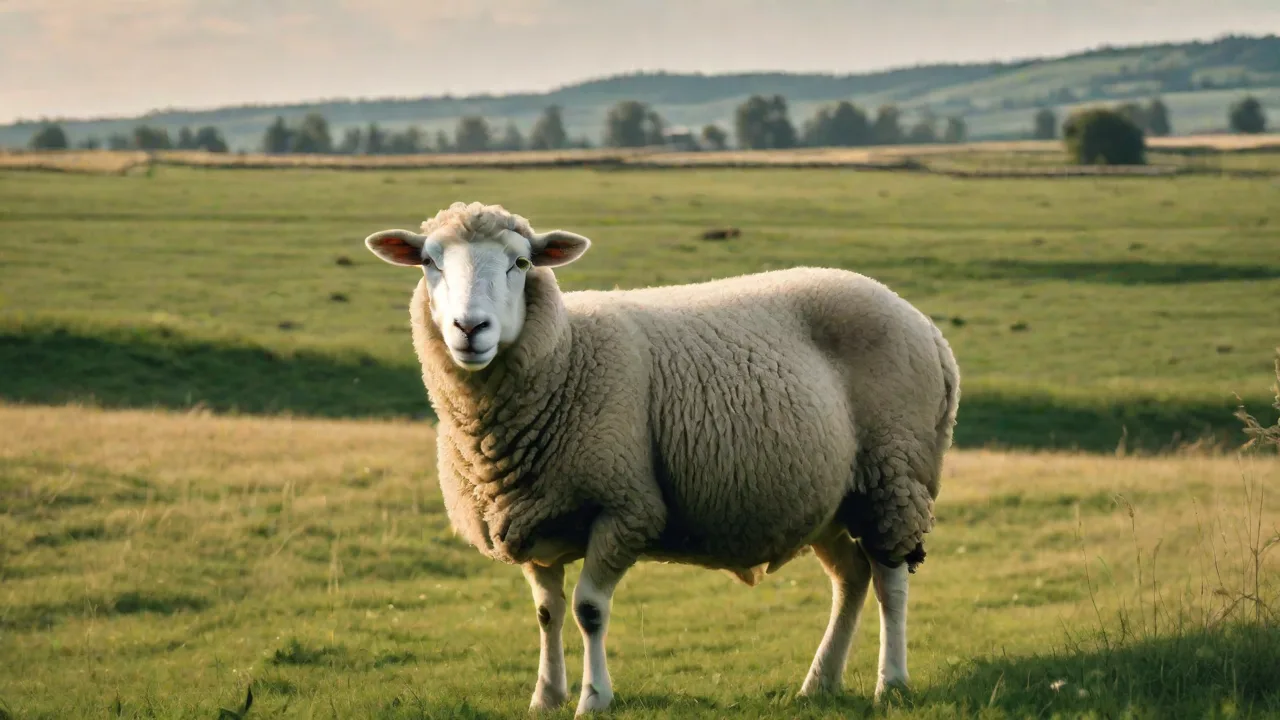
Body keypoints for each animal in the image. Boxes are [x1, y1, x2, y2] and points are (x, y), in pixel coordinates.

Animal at [364, 201, 961, 715]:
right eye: (430, 262)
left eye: (522, 262)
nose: (470, 329)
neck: (566, 356)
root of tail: (925, 325)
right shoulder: (529, 515)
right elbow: (546, 613)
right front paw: (545, 697)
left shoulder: (626, 508)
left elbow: (588, 610)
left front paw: (593, 699)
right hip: (829, 499)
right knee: (852, 579)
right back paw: (820, 684)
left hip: (895, 475)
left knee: (889, 581)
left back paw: (891, 683)